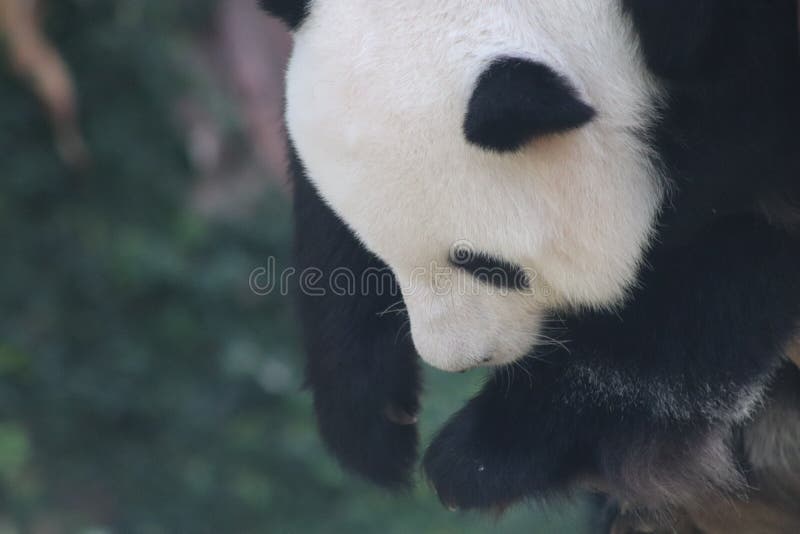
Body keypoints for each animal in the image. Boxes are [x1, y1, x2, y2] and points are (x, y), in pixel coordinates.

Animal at [260, 0, 800, 530]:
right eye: (373, 248)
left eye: (487, 265)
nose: (457, 359)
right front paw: (368, 414)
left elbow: (713, 283)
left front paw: (484, 455)